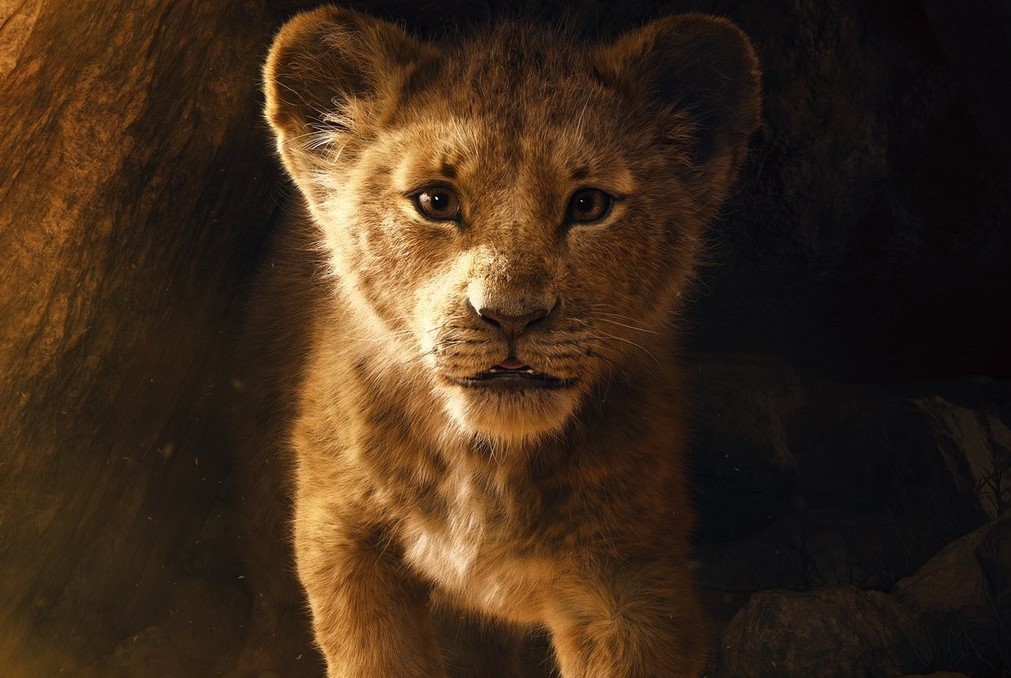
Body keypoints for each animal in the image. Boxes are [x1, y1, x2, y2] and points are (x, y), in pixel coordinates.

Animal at [260, 5, 760, 676]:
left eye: (589, 204)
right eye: (435, 200)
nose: (512, 316)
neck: (487, 465)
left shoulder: (633, 578)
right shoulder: (341, 537)